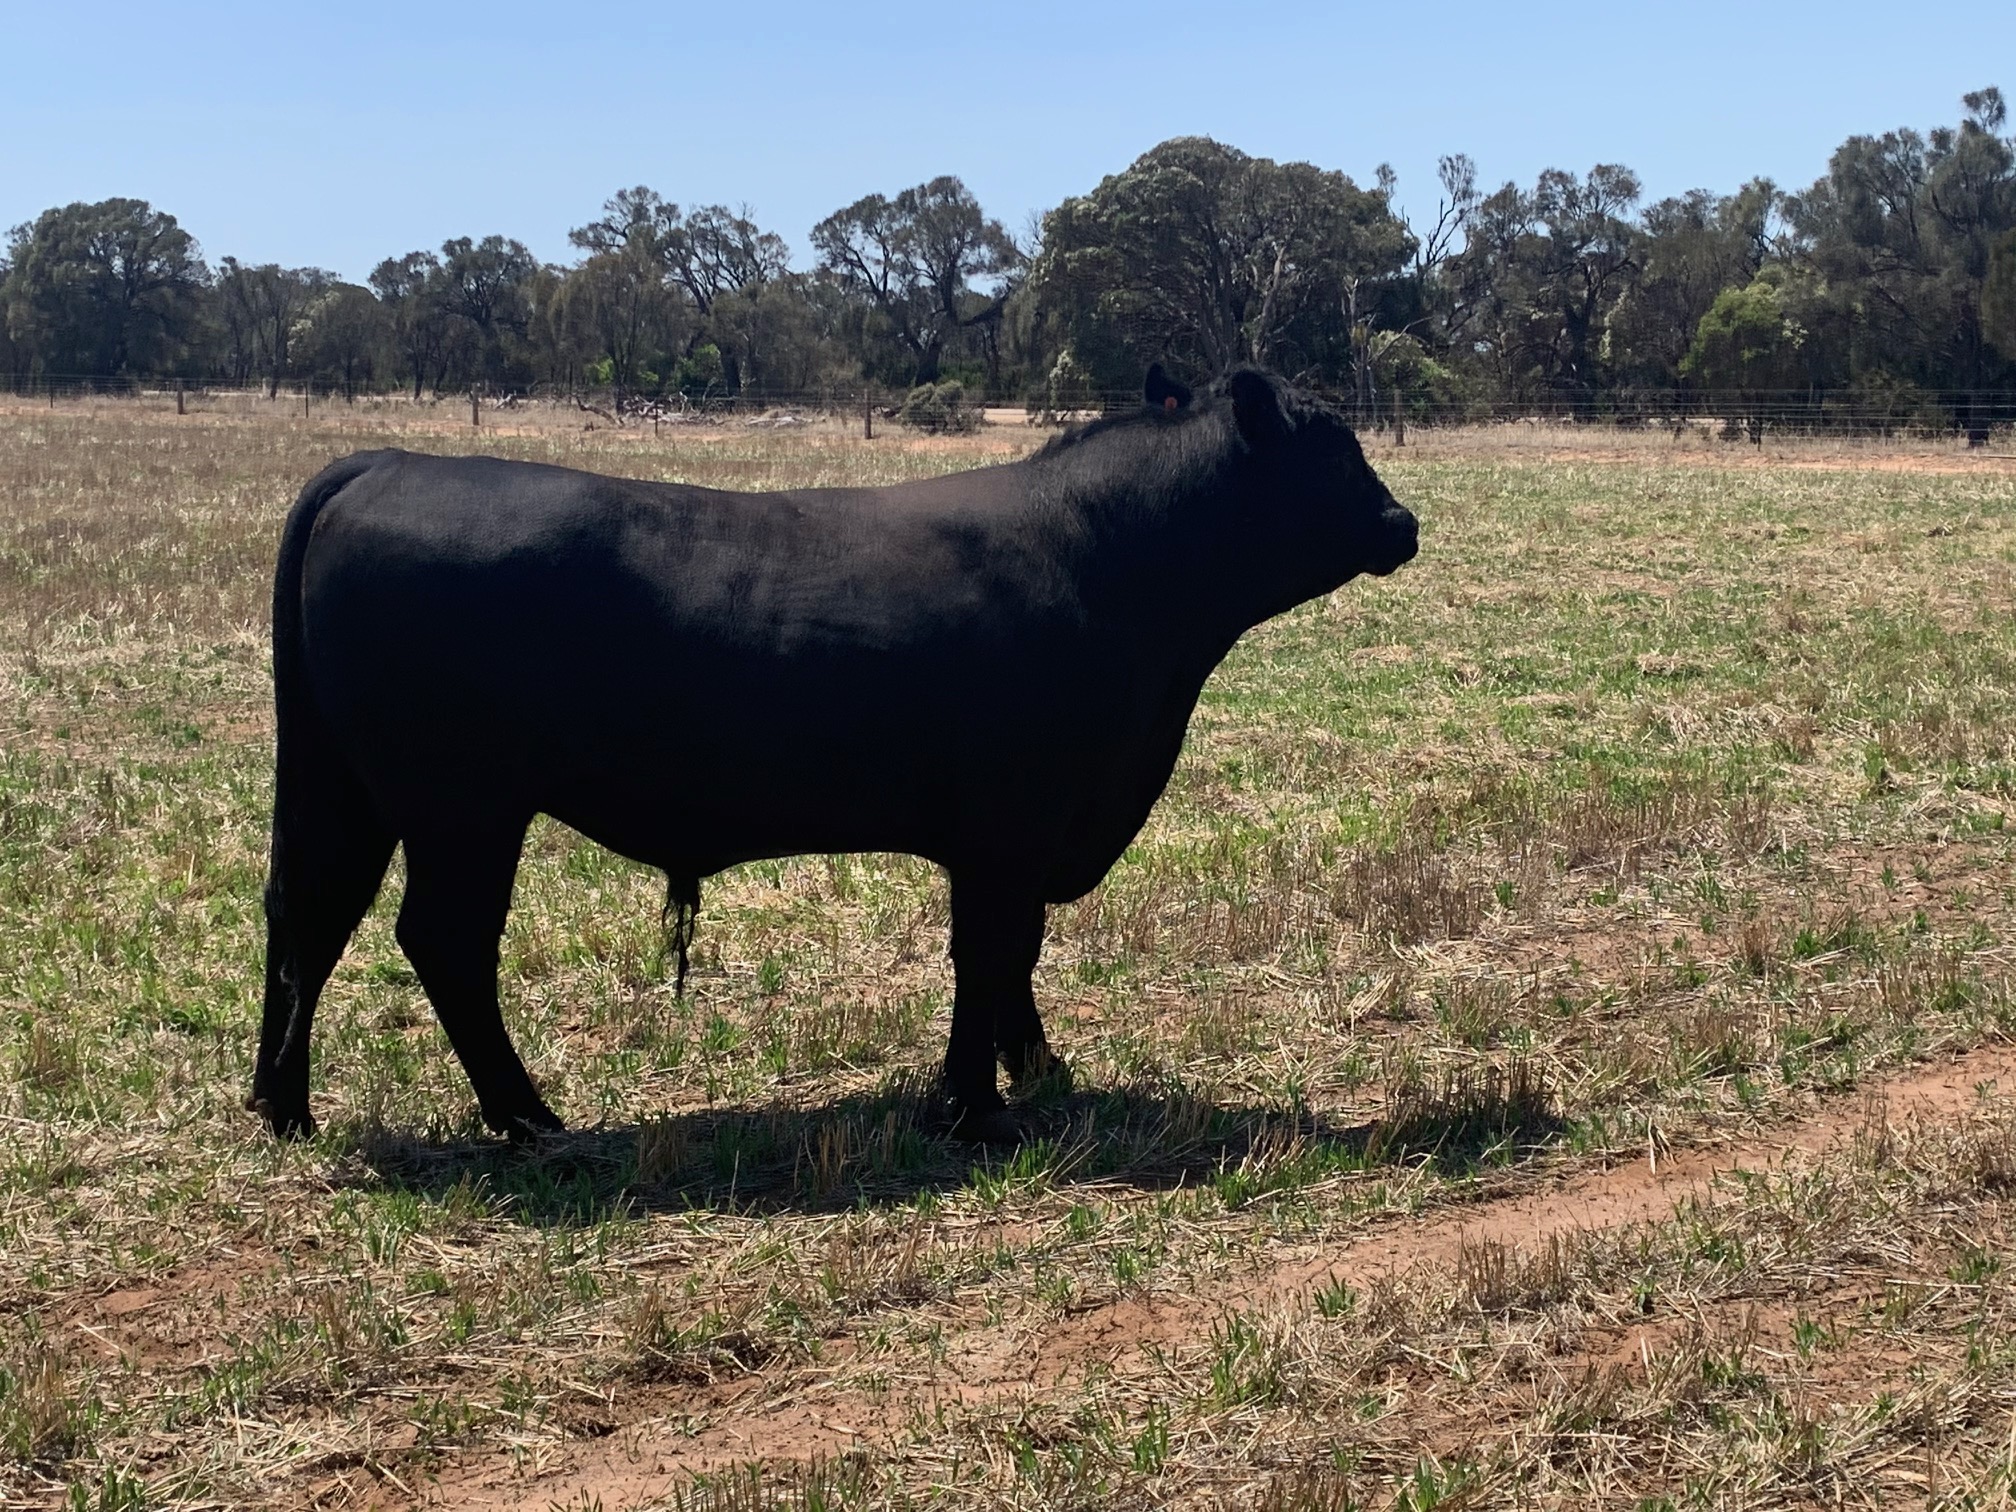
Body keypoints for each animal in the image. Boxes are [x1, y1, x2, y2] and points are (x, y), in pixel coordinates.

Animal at [247, 365, 1418, 1145]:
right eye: (1334, 450)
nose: (1403, 523)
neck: (1108, 557)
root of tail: (383, 463)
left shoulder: (1018, 836)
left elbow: (1016, 959)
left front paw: (1039, 1074)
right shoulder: (1011, 828)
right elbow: (990, 953)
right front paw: (972, 1106)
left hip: (348, 790)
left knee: (307, 915)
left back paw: (282, 1105)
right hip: (463, 808)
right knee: (441, 940)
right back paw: (528, 1116)